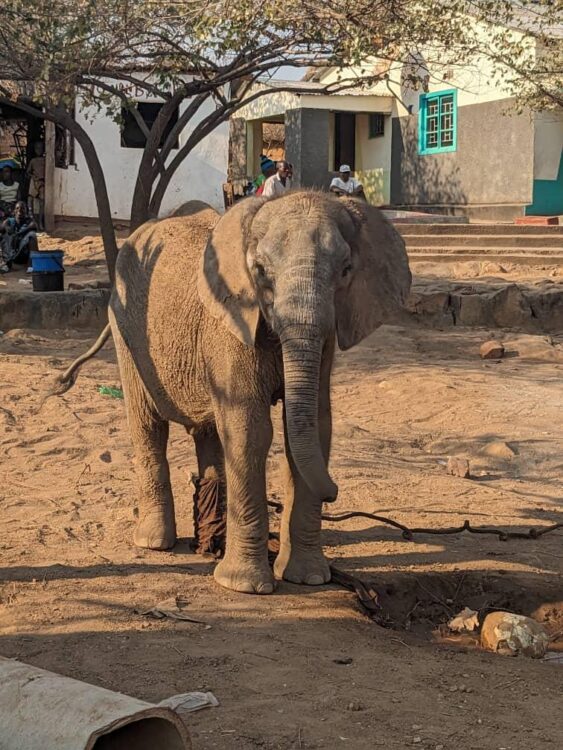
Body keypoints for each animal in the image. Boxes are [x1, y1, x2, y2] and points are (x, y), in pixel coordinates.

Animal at [57, 191, 411, 595]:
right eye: (260, 270)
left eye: (346, 270)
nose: (333, 493)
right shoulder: (233, 323)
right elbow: (249, 430)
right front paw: (245, 587)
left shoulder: (326, 341)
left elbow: (314, 428)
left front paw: (309, 579)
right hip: (125, 324)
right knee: (148, 424)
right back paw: (155, 542)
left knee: (208, 430)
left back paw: (209, 537)